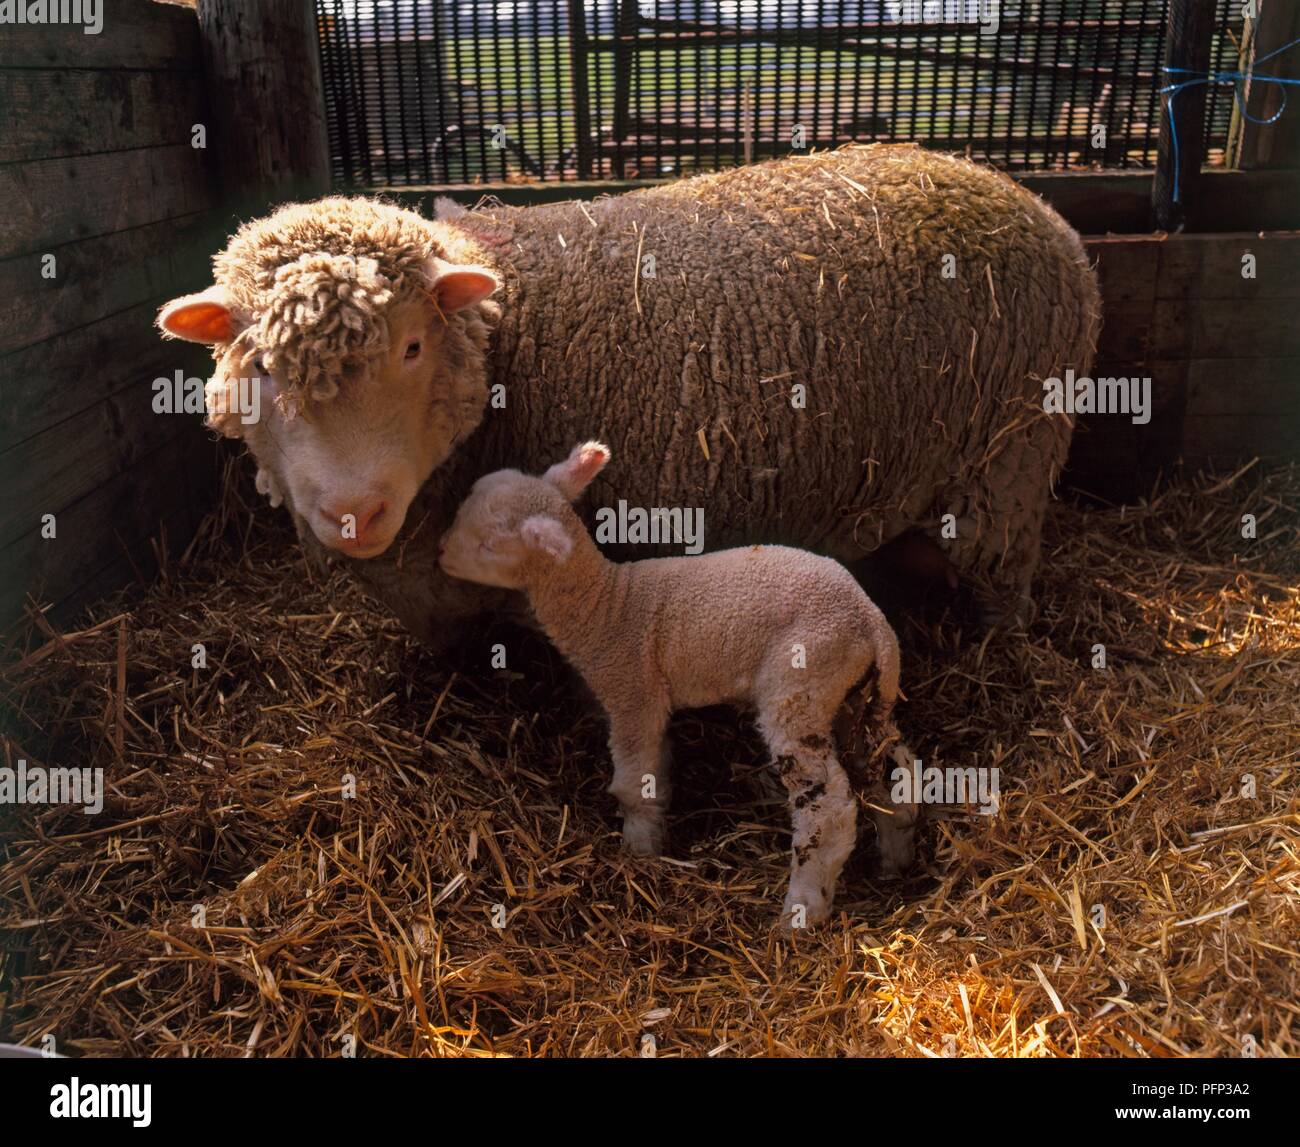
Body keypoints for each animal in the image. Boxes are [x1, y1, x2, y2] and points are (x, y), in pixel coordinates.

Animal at [158, 144, 1101, 655]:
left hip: (1010, 462)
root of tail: (1040, 205)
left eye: (414, 347)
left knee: (1004, 576)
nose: (355, 511)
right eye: (259, 366)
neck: (509, 335)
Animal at [438, 441, 911, 927]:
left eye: (488, 545)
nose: (439, 552)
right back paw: (896, 859)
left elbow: (632, 784)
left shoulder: (633, 691)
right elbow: (657, 772)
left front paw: (639, 851)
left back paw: (801, 911)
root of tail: (873, 623)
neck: (606, 603)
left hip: (801, 682)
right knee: (893, 766)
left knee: (828, 809)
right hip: (852, 694)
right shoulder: (655, 699)